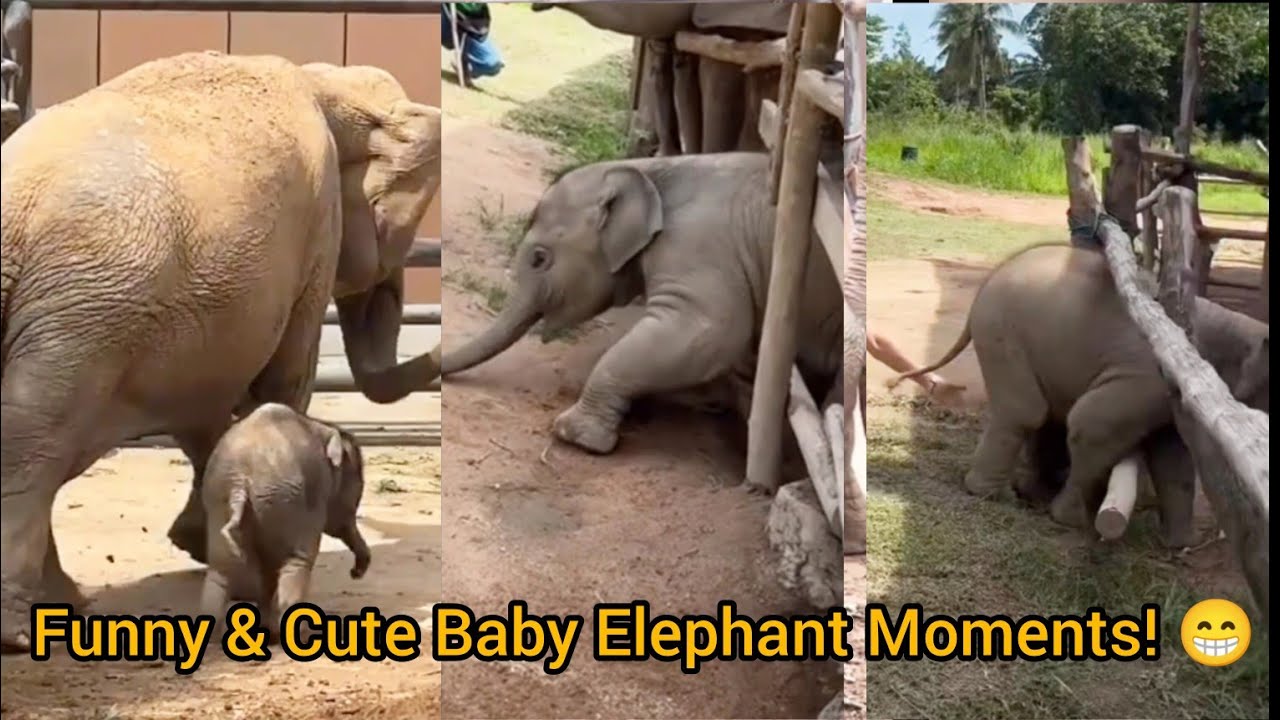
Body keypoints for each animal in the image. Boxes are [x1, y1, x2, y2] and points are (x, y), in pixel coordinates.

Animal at [200, 403, 370, 638]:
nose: (355, 573)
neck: (319, 425)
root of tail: (239, 485)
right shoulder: (315, 491)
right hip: (281, 499)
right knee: (297, 562)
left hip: (221, 500)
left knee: (220, 573)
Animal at [892, 243, 1269, 547]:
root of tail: (982, 291)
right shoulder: (1146, 376)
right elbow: (1090, 424)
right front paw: (1071, 521)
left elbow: (1172, 457)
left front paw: (1183, 544)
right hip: (1001, 334)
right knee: (1026, 412)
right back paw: (996, 495)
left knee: (1043, 417)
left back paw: (1032, 492)